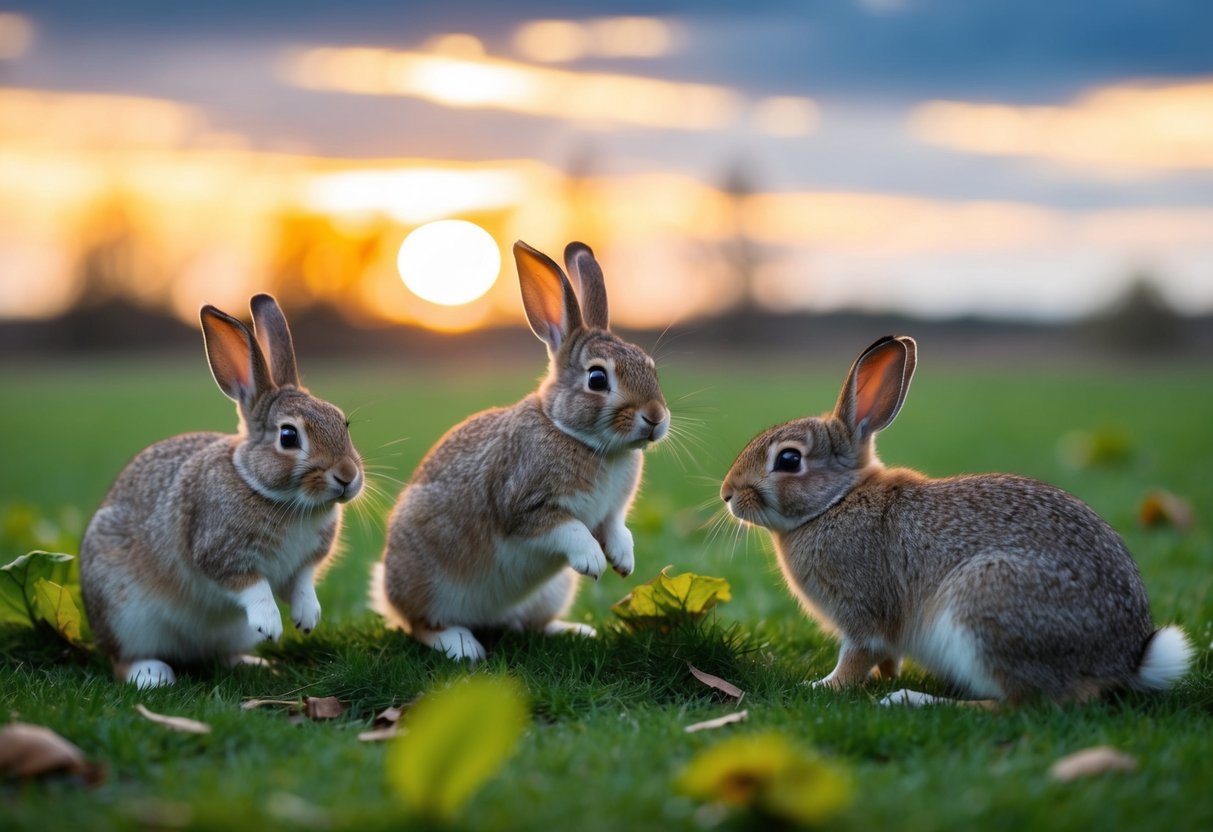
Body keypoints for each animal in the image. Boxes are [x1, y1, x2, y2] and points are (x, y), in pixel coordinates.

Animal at [78, 294, 363, 689]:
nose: (348, 476)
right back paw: (151, 675)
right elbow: (253, 587)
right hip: (124, 616)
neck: (280, 498)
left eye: (342, 422)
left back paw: (252, 664)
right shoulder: (220, 552)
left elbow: (303, 585)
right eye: (289, 436)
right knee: (121, 658)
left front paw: (307, 618)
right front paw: (271, 625)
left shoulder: (303, 565)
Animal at [371, 240, 670, 661]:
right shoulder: (522, 505)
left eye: (651, 366)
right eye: (597, 378)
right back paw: (462, 646)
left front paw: (624, 560)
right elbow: (569, 528)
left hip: (551, 593)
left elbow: (615, 528)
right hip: (425, 581)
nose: (656, 418)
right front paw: (594, 561)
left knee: (529, 624)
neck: (577, 436)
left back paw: (575, 631)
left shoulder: (611, 512)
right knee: (421, 624)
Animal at [720, 335, 1193, 705]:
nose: (727, 494)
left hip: (984, 605)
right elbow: (885, 657)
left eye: (788, 460)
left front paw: (822, 686)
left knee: (1025, 703)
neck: (836, 502)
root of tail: (1124, 659)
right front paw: (881, 676)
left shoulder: (863, 610)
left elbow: (857, 656)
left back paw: (912, 700)